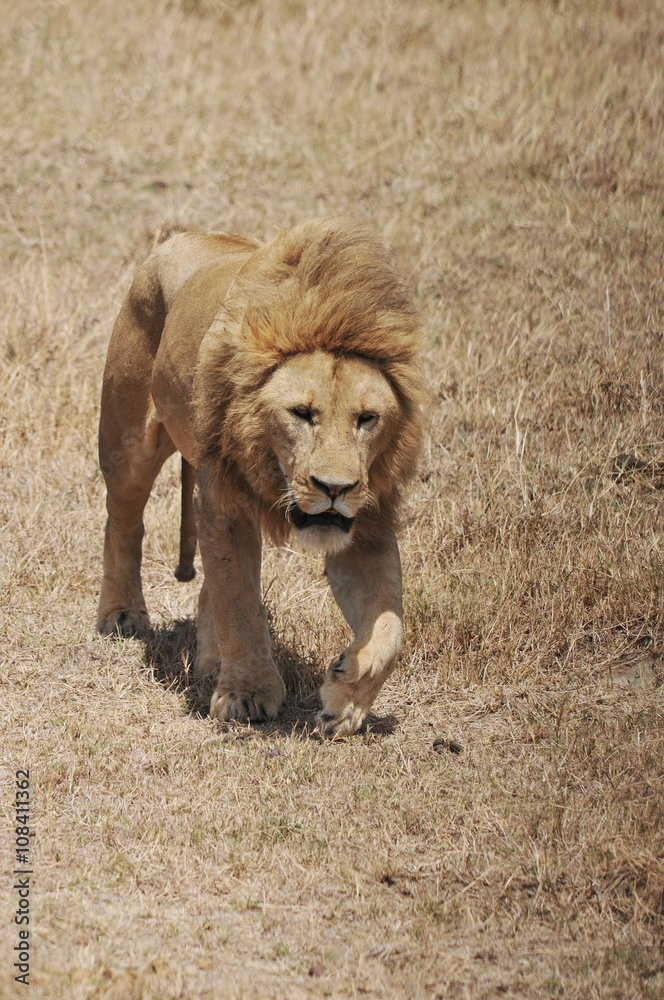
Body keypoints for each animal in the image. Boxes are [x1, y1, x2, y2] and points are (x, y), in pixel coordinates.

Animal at [97, 218, 425, 736]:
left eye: (366, 418)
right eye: (302, 413)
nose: (335, 489)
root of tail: (180, 235)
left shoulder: (366, 522)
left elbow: (390, 624)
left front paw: (346, 702)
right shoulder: (223, 501)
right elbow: (239, 602)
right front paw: (247, 695)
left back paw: (212, 660)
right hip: (127, 441)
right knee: (124, 524)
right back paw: (121, 615)